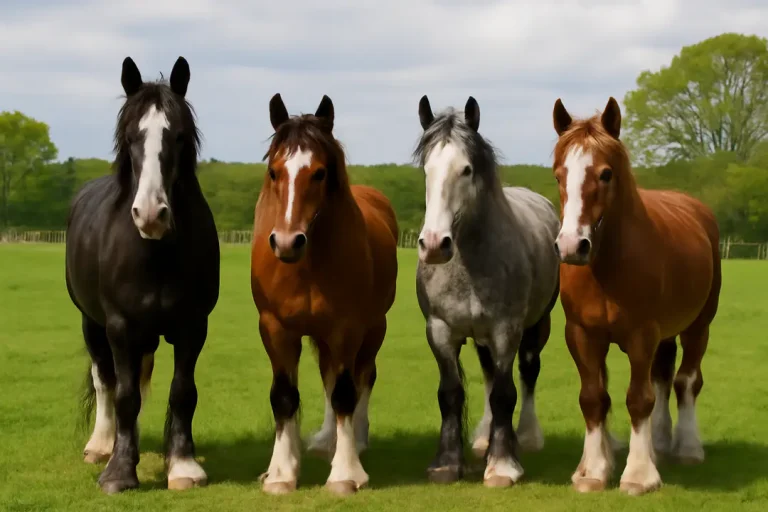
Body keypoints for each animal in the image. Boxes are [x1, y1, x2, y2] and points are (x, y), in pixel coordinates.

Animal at [65, 56, 220, 494]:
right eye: (131, 136)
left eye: (180, 136)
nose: (151, 214)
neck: (156, 253)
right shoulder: (120, 327)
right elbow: (124, 395)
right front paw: (119, 471)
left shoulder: (192, 326)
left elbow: (183, 392)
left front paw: (183, 465)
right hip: (91, 323)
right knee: (105, 379)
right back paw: (101, 445)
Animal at [250, 94, 399, 496]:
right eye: (274, 171)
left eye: (319, 173)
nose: (287, 242)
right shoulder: (276, 330)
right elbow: (284, 397)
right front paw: (281, 472)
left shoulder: (346, 329)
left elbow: (346, 392)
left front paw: (345, 473)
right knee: (327, 377)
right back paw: (324, 442)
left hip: (373, 331)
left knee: (362, 378)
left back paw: (354, 442)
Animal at [414, 96, 561, 487]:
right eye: (426, 170)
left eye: (466, 170)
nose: (434, 244)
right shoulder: (440, 330)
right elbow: (451, 393)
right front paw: (446, 463)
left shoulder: (506, 330)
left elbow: (506, 394)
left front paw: (504, 464)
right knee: (488, 375)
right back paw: (485, 437)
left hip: (536, 326)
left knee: (527, 371)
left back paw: (525, 437)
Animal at [551, 97, 721, 495]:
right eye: (558, 175)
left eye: (605, 174)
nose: (572, 246)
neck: (607, 264)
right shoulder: (582, 335)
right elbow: (593, 398)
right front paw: (593, 471)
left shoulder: (642, 334)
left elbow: (638, 399)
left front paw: (639, 474)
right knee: (663, 378)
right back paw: (659, 442)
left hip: (698, 327)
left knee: (685, 381)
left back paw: (687, 447)